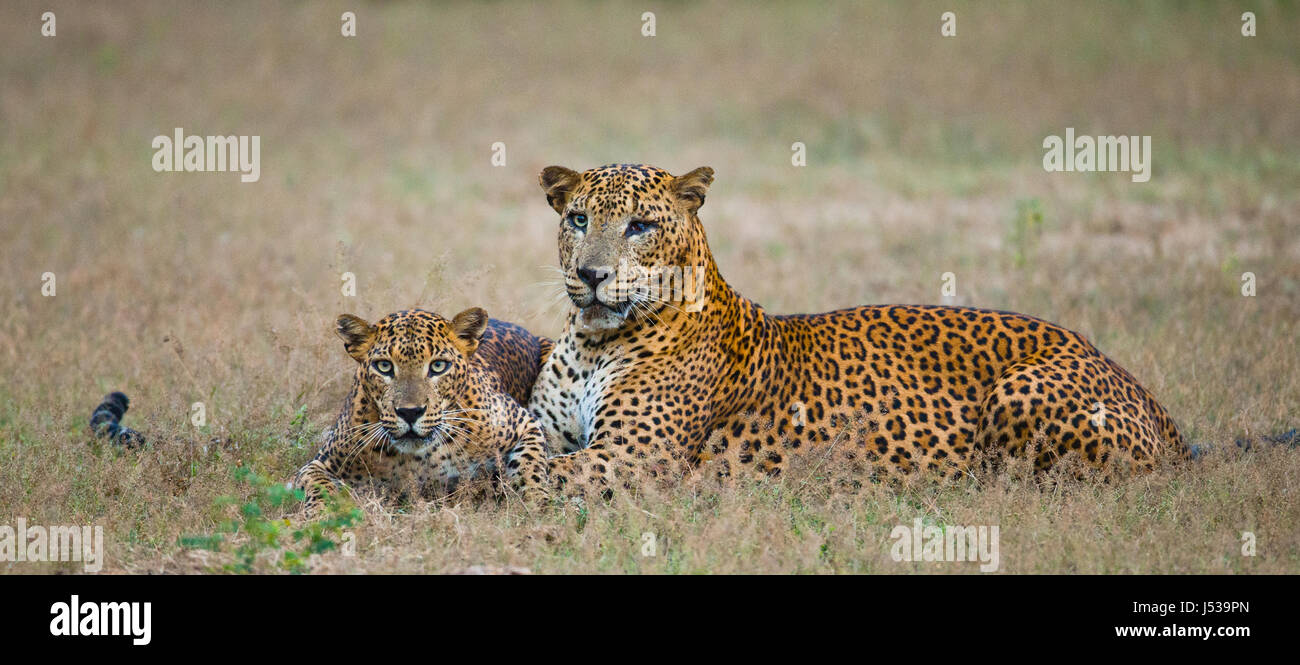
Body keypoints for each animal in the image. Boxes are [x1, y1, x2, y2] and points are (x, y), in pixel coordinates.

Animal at [527, 163, 1187, 494]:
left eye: (639, 226)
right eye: (578, 219)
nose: (591, 274)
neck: (594, 344)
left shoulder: (637, 458)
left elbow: (529, 474)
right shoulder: (560, 433)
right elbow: (530, 453)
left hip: (1018, 393)